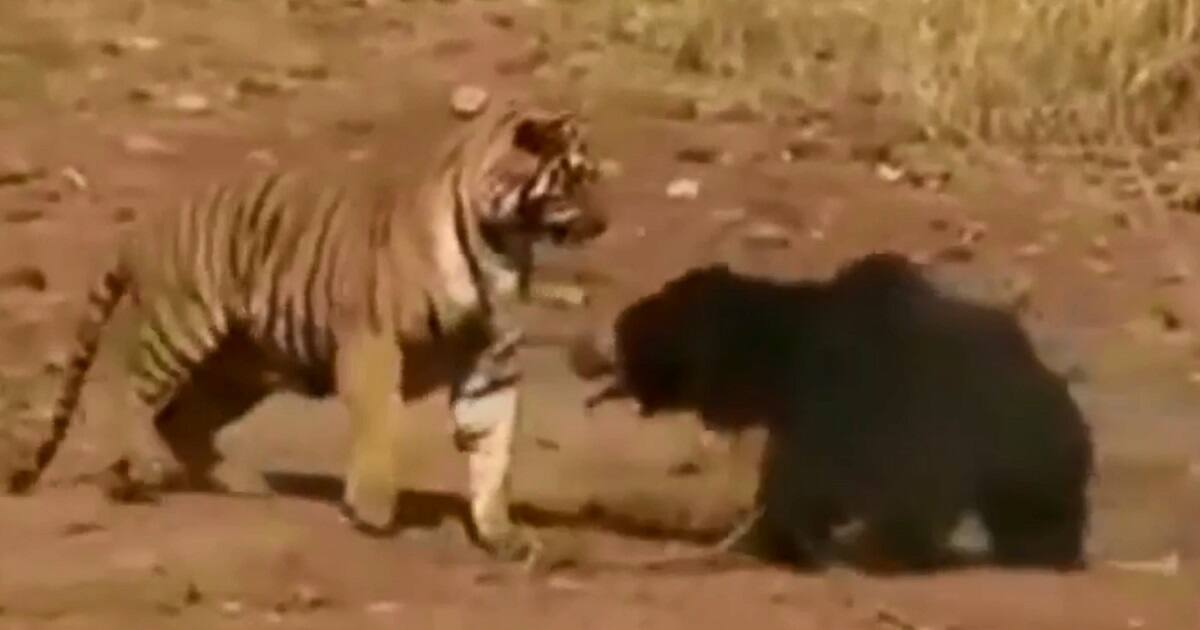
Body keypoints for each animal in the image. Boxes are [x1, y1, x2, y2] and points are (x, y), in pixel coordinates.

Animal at [7, 99, 606, 560]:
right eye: (570, 182)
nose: (603, 223)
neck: (499, 243)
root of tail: (139, 230)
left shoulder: (490, 360)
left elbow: (492, 450)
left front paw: (501, 534)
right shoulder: (373, 343)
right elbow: (377, 426)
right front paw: (372, 509)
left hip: (240, 369)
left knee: (183, 421)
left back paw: (241, 483)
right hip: (180, 328)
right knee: (132, 393)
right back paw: (142, 467)